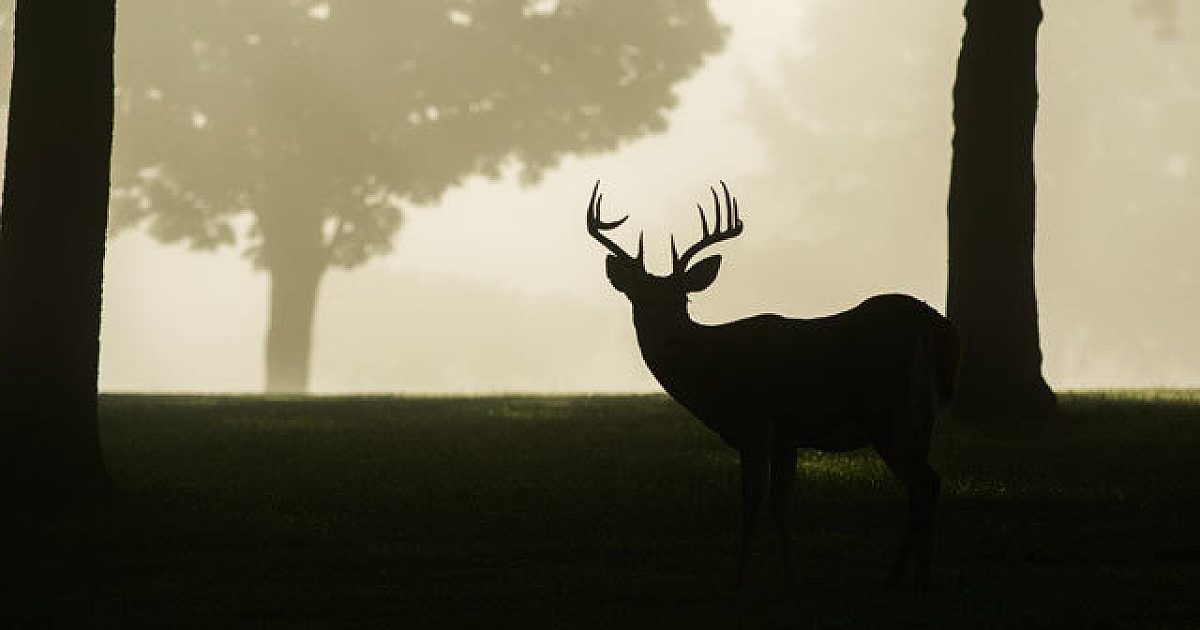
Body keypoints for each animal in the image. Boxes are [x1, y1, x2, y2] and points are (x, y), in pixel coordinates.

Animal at [586, 181, 959, 592]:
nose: (665, 332)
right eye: (637, 298)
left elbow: (751, 505)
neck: (714, 373)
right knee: (921, 489)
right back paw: (897, 577)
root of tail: (936, 331)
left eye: (683, 297)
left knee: (926, 483)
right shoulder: (786, 438)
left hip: (885, 413)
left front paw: (739, 582)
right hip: (921, 418)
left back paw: (918, 581)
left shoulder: (754, 425)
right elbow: (782, 506)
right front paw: (790, 579)